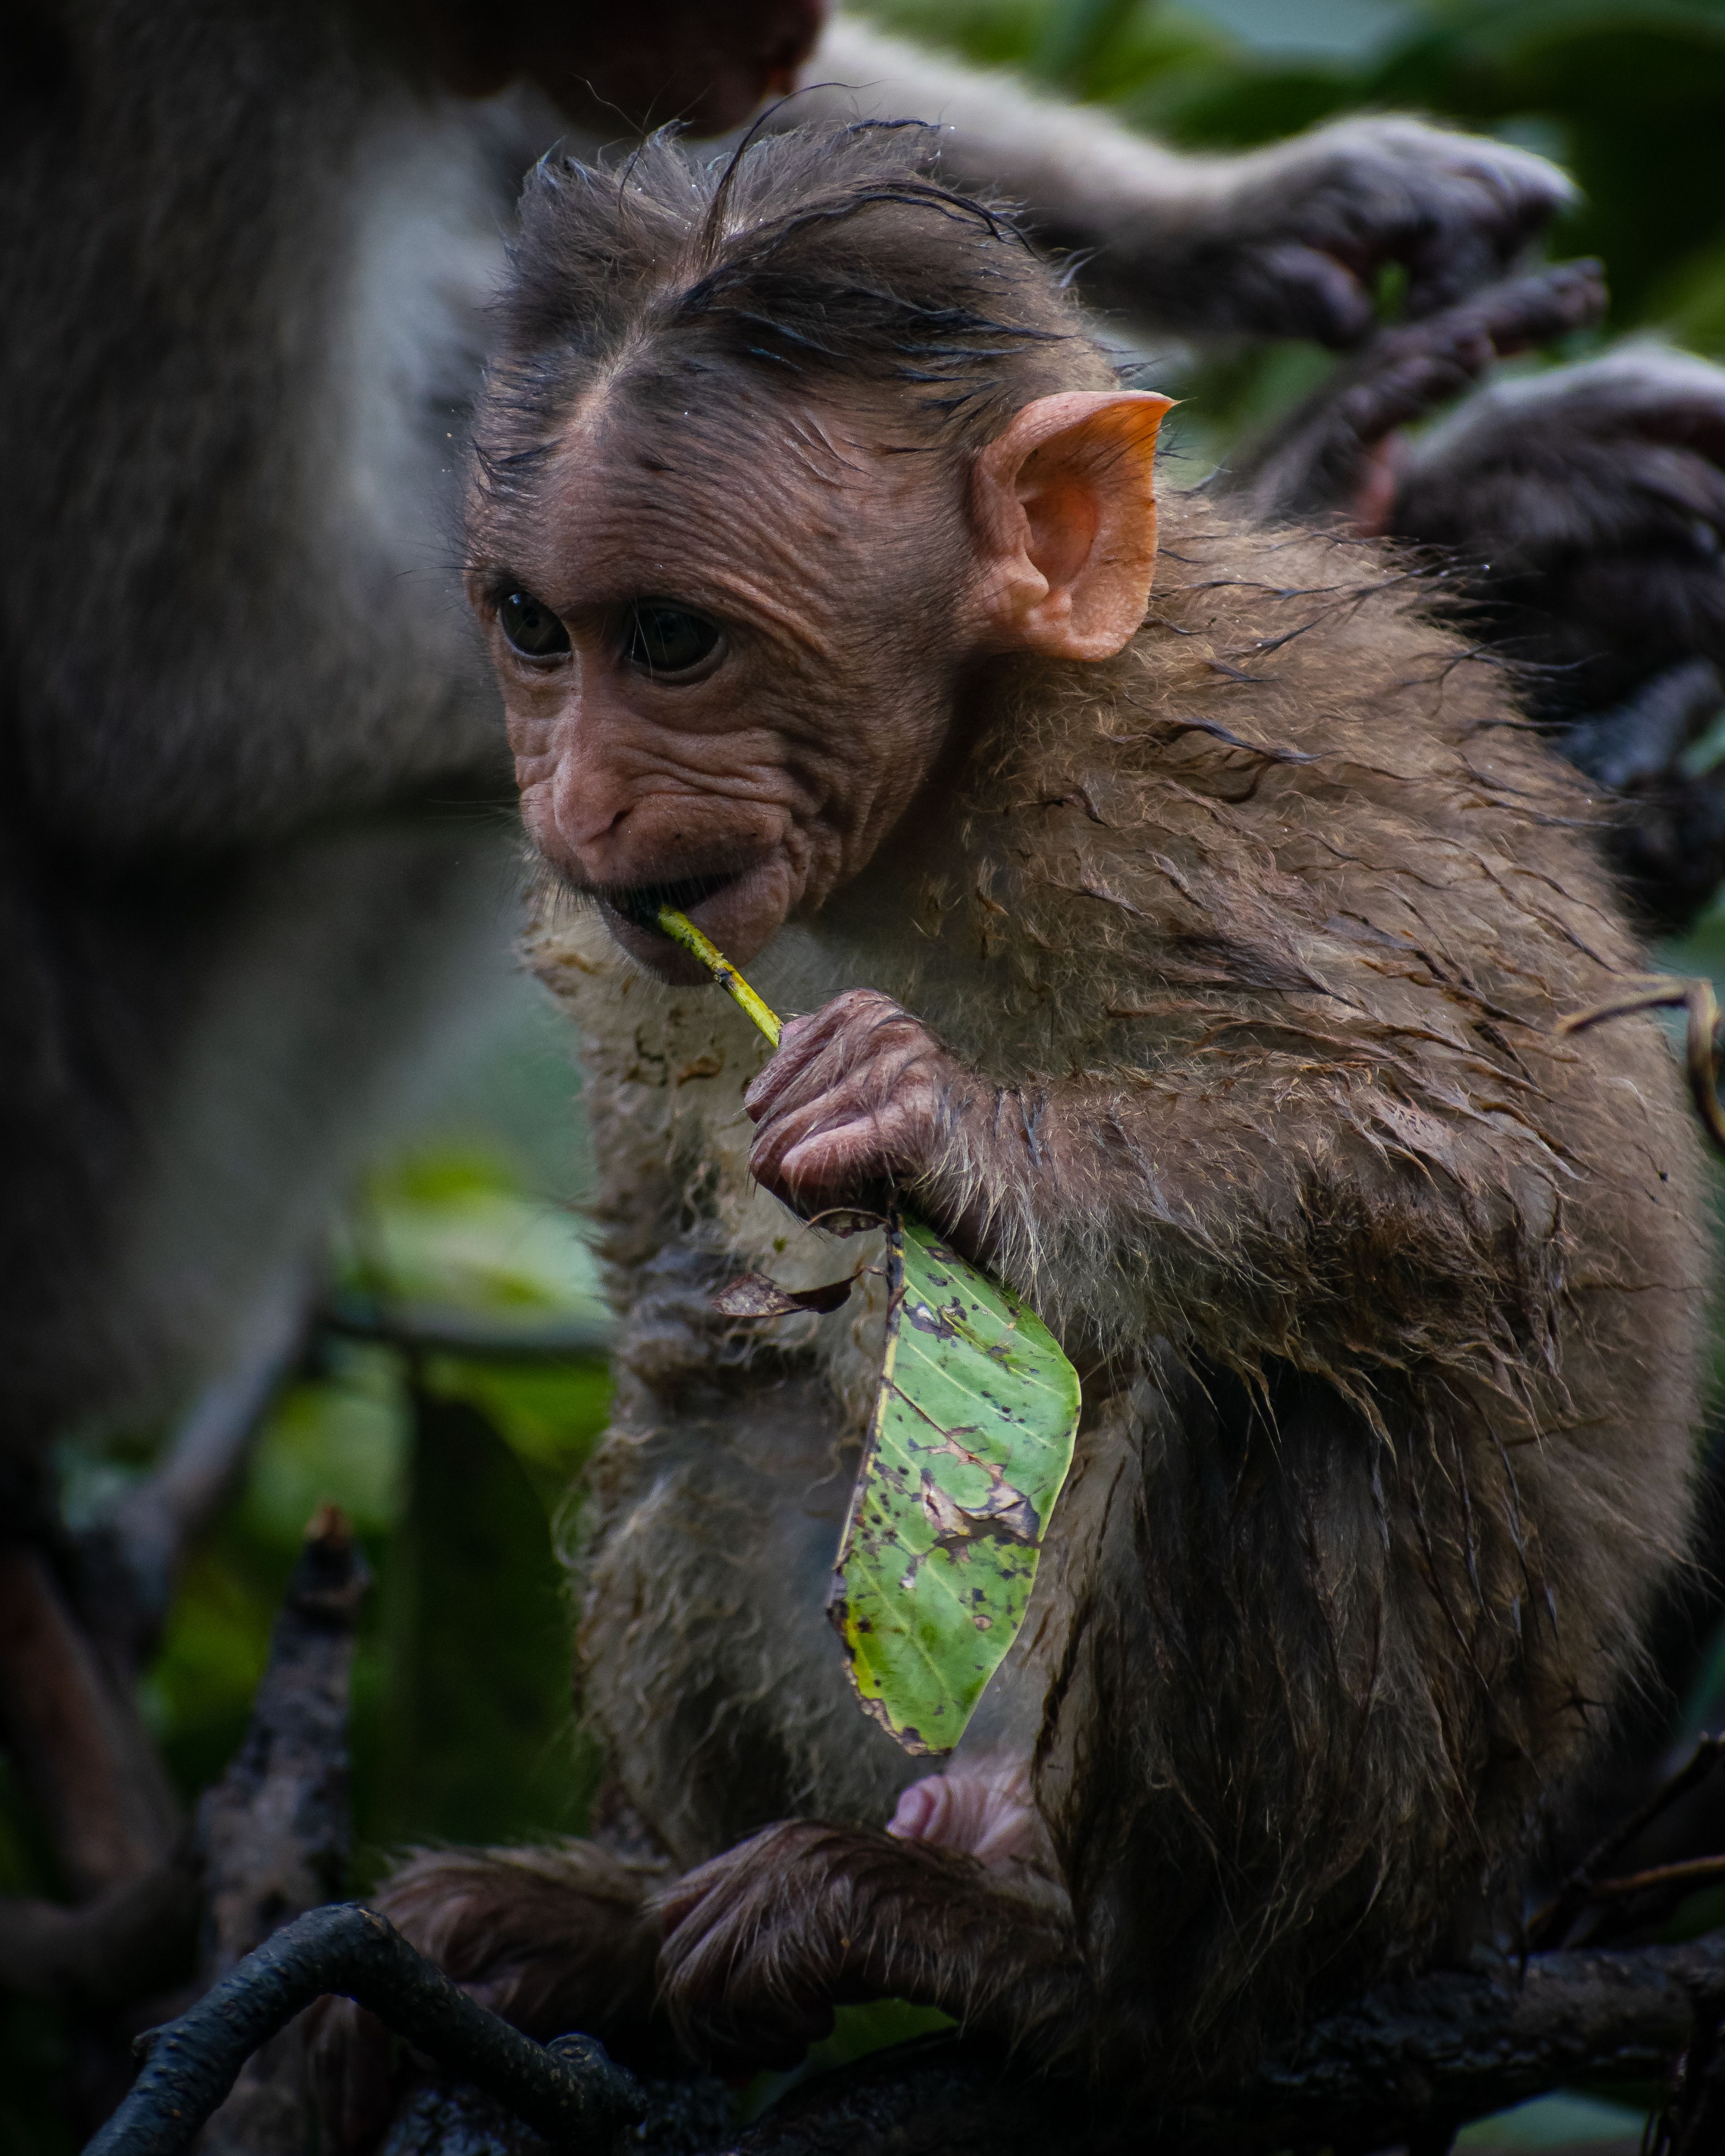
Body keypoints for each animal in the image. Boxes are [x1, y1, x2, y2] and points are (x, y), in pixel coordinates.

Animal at [310, 121, 1708, 2144]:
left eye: (673, 641)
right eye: (532, 629)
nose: (573, 788)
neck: (935, 794)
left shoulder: (1168, 802)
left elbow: (1469, 1173)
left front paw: (924, 1119)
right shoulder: (615, 933)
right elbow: (685, 1286)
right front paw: (702, 1288)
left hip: (1390, 1863)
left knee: (1280, 1388)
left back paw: (1090, 1988)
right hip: (878, 1730)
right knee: (726, 1424)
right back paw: (620, 1929)